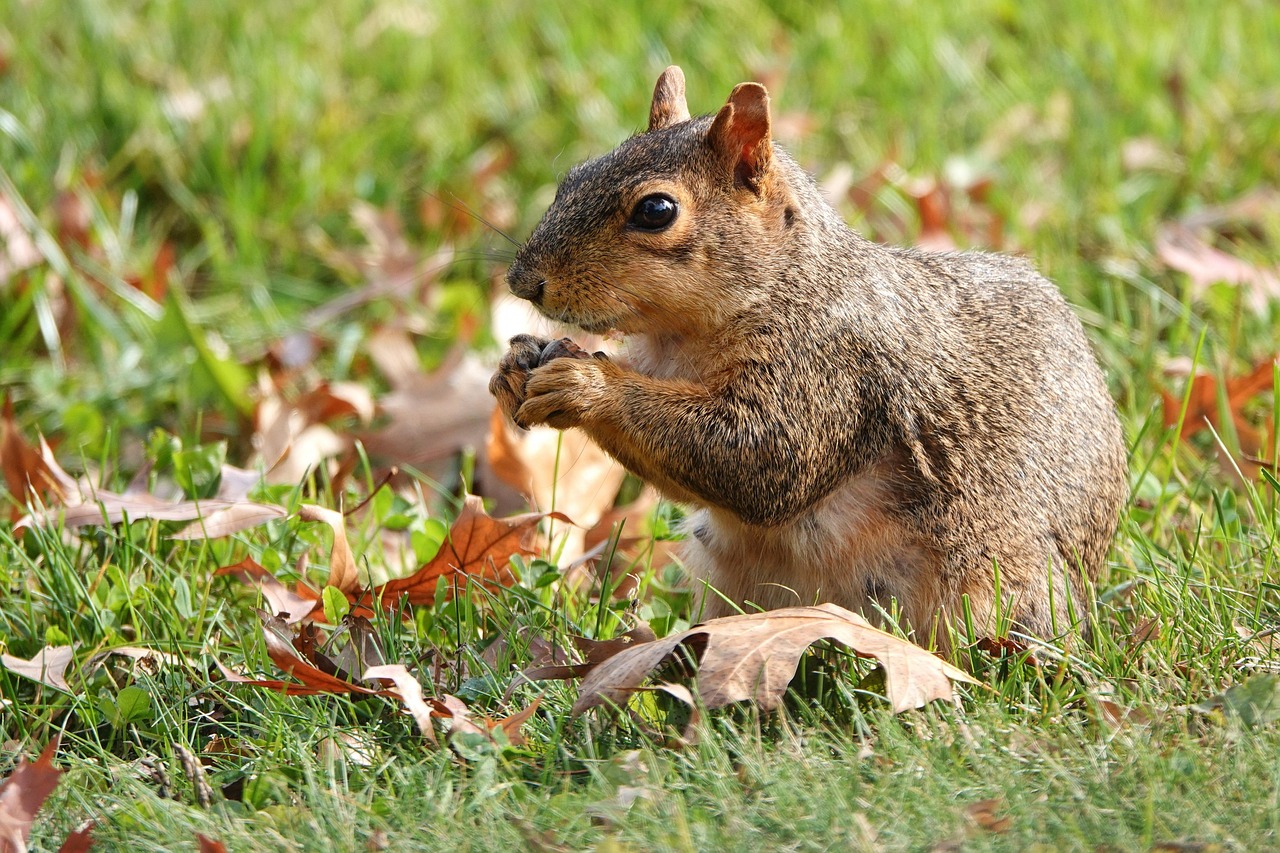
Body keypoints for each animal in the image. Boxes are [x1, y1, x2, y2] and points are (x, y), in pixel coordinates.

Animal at [490, 66, 1127, 645]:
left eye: (656, 210)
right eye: (572, 176)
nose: (524, 282)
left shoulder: (831, 370)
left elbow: (760, 456)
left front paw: (584, 385)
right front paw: (518, 364)